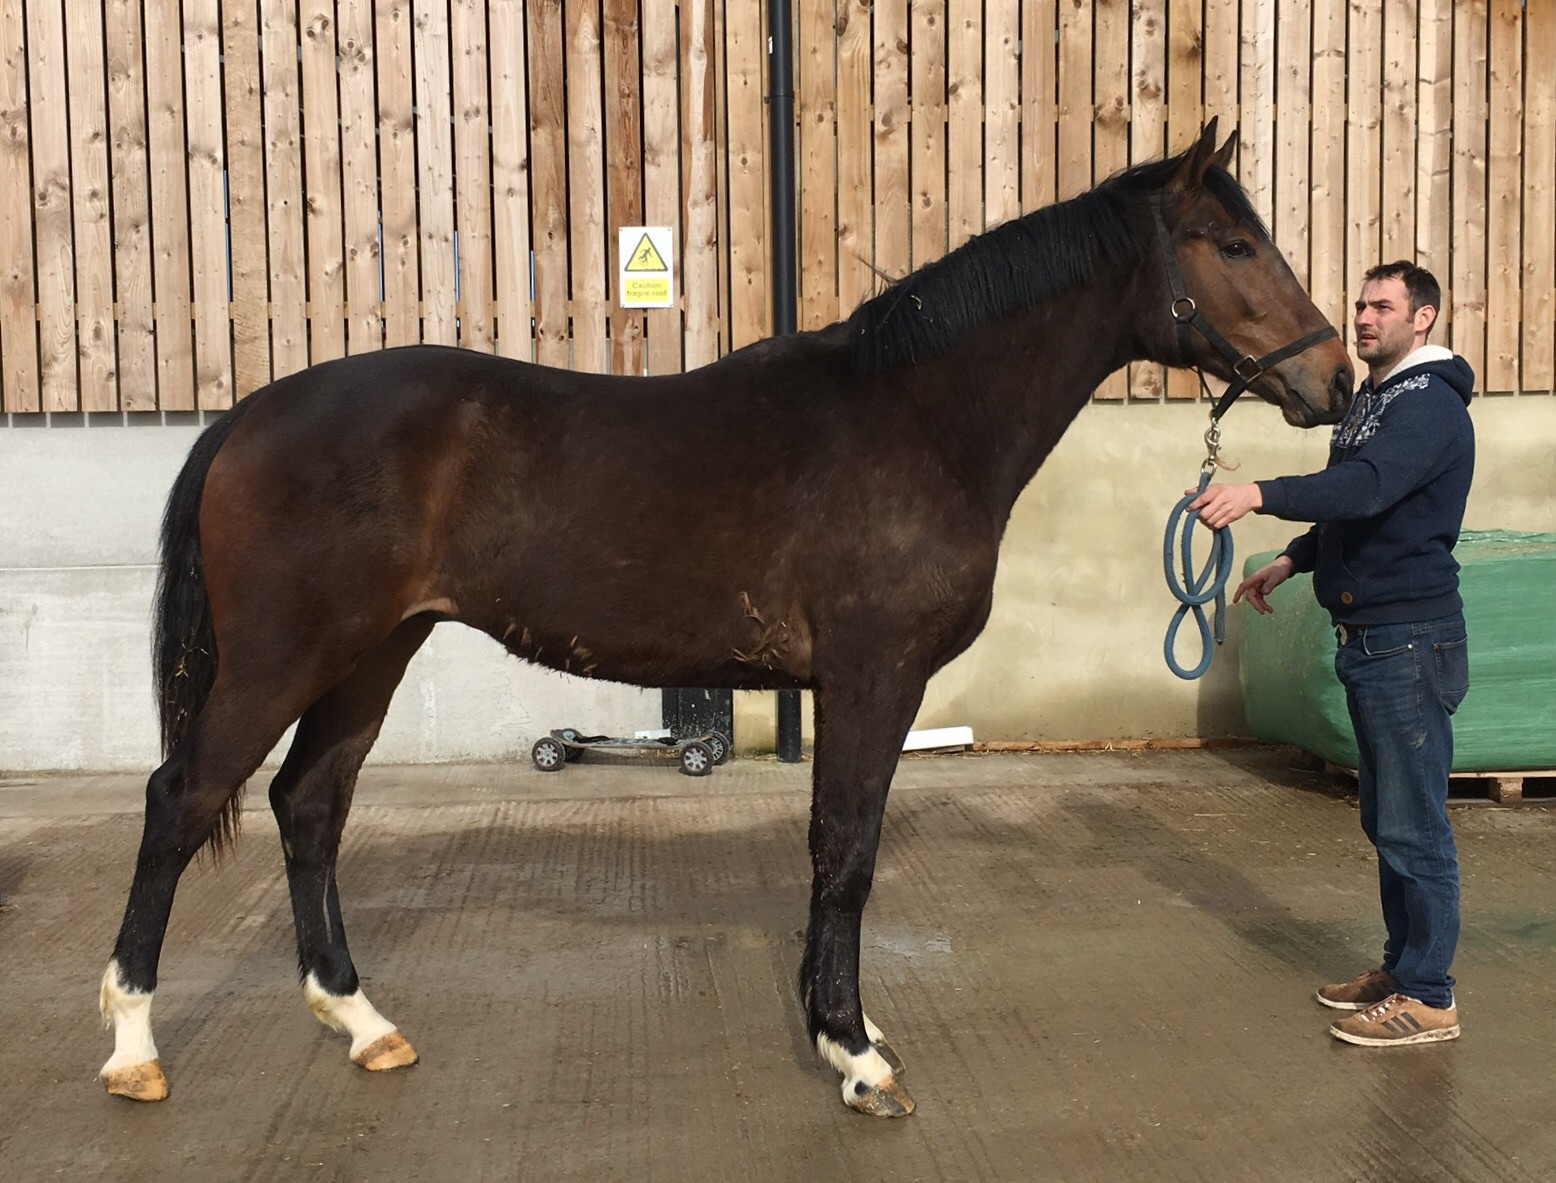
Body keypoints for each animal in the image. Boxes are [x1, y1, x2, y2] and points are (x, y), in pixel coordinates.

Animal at [98, 122, 1352, 1115]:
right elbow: (845, 851)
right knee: (180, 798)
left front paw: (841, 1026)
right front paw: (853, 1052)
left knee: (309, 803)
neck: (917, 416)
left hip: (371, 654)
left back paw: (362, 1024)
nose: (1334, 381)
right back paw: (133, 1045)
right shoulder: (870, 677)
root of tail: (251, 413)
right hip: (284, 657)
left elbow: (836, 849)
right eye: (1231, 244)